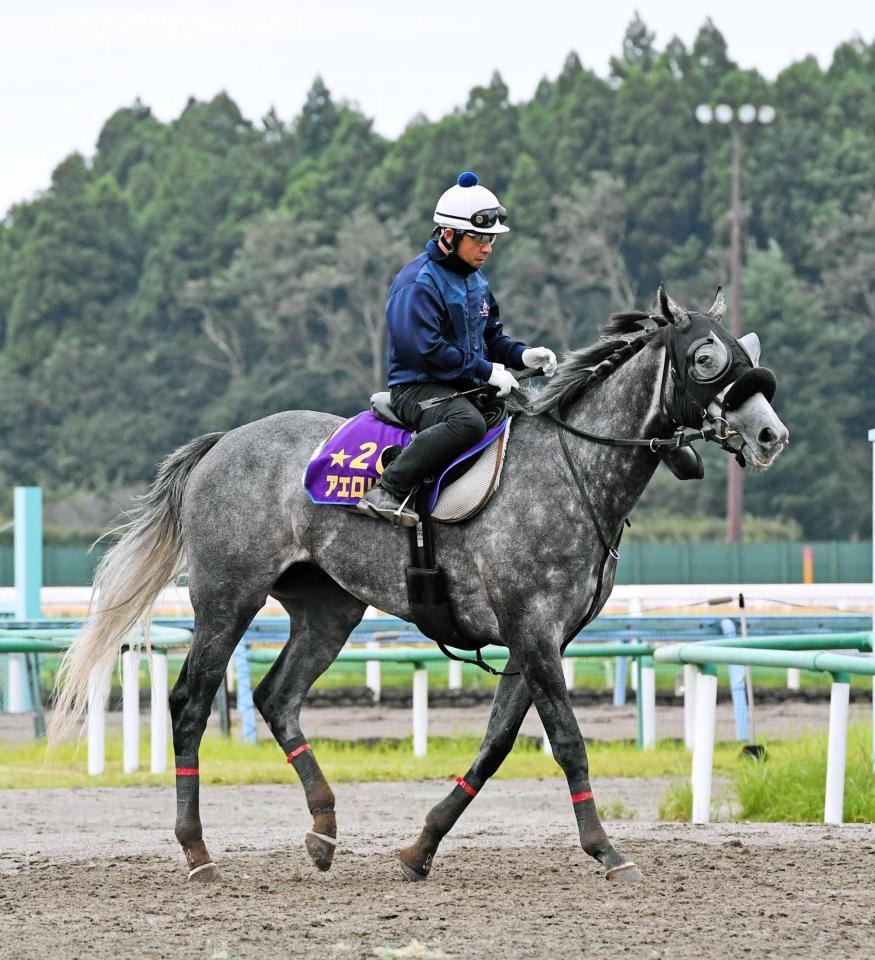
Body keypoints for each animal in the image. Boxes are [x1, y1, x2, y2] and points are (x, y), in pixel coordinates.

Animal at [49, 284, 788, 885]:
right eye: (706, 359)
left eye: (744, 349)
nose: (769, 434)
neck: (573, 466)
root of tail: (224, 441)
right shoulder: (534, 631)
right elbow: (569, 743)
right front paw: (605, 849)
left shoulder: (537, 641)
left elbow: (495, 747)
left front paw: (420, 848)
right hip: (228, 599)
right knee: (190, 703)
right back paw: (198, 852)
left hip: (328, 610)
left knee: (276, 697)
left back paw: (323, 830)